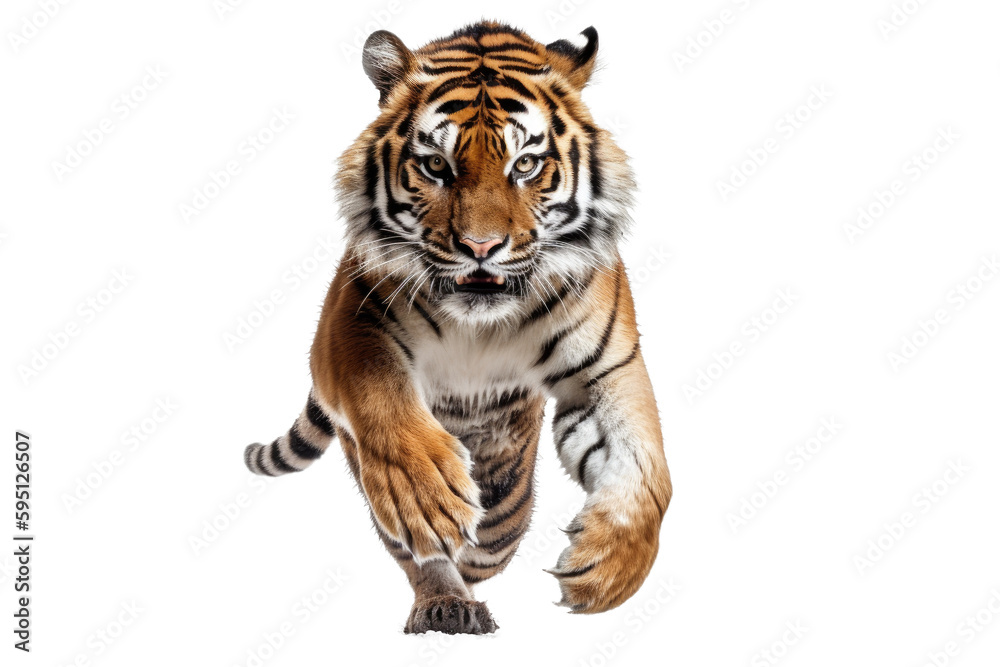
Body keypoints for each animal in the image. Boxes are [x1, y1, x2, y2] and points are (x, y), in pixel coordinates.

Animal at [243, 20, 672, 635]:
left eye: (525, 165)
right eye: (436, 167)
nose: (481, 247)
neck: (481, 326)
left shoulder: (607, 367)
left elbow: (650, 472)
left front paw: (609, 567)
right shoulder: (349, 328)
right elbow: (385, 405)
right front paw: (426, 495)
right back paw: (446, 600)